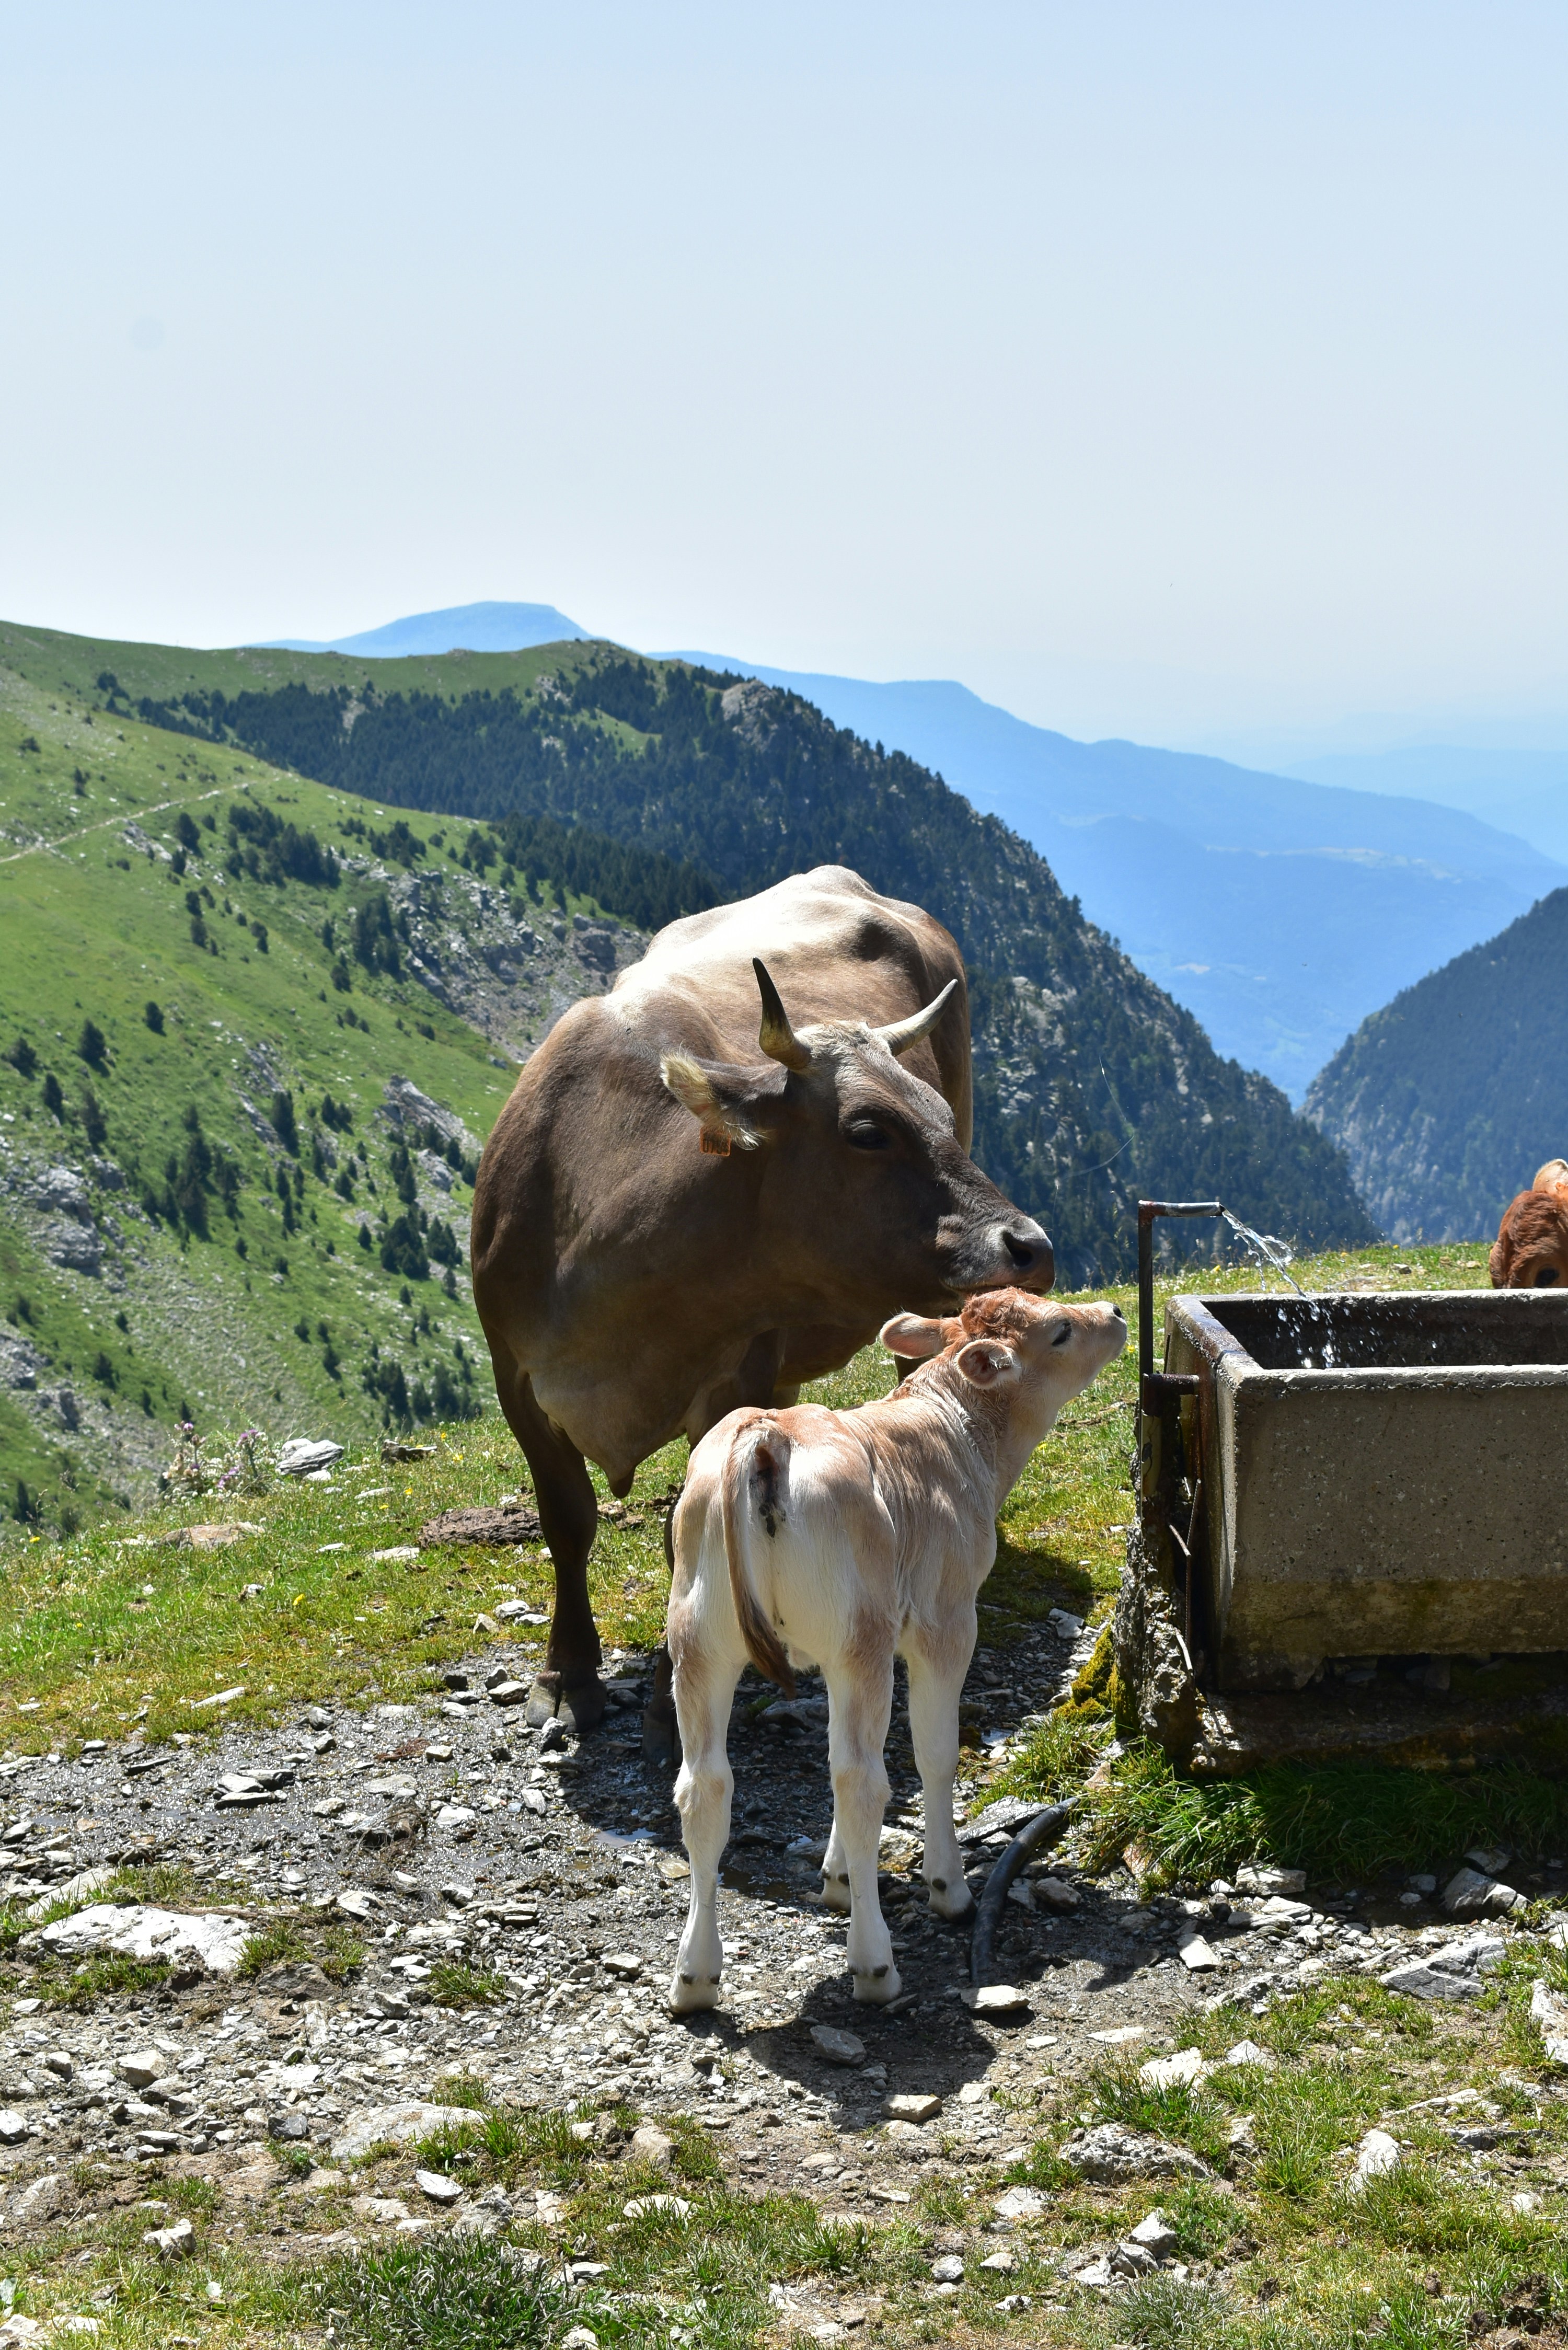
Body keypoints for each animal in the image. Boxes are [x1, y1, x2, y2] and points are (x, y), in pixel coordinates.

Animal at [469, 865, 1054, 1750]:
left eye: (942, 1118)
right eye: (868, 1130)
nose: (1030, 1245)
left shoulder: (730, 1378)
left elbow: (688, 1528)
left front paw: (671, 1700)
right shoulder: (517, 1378)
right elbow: (566, 1522)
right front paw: (567, 1676)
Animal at [663, 1286, 1127, 2013]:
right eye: (1058, 1330)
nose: (1113, 1311)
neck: (956, 1433)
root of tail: (766, 1433)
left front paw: (837, 1877)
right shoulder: (946, 1619)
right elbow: (933, 1753)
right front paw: (947, 1885)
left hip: (700, 1638)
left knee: (709, 1784)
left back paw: (695, 1975)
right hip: (863, 1639)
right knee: (861, 1779)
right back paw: (874, 1962)